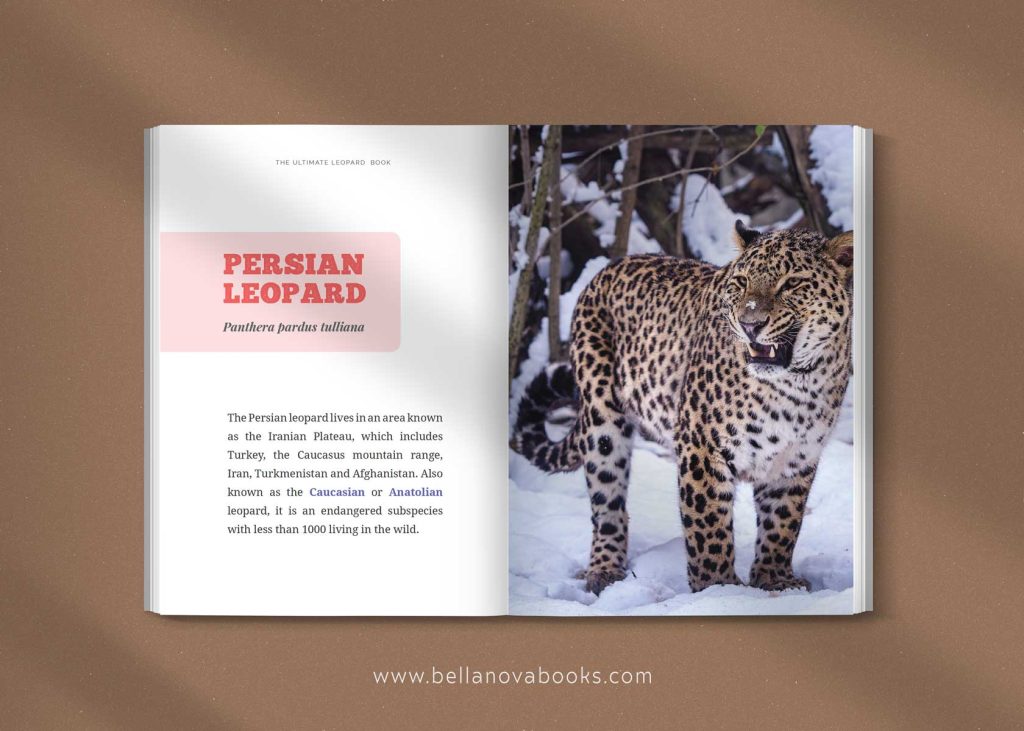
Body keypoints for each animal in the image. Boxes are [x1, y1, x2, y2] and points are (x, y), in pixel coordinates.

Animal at [512, 221, 854, 595]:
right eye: (742, 282)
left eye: (791, 284)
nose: (750, 324)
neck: (794, 387)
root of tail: (605, 269)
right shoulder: (702, 446)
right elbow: (709, 528)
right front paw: (718, 589)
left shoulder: (796, 460)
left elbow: (782, 524)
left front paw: (775, 580)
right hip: (602, 421)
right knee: (607, 503)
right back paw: (605, 570)